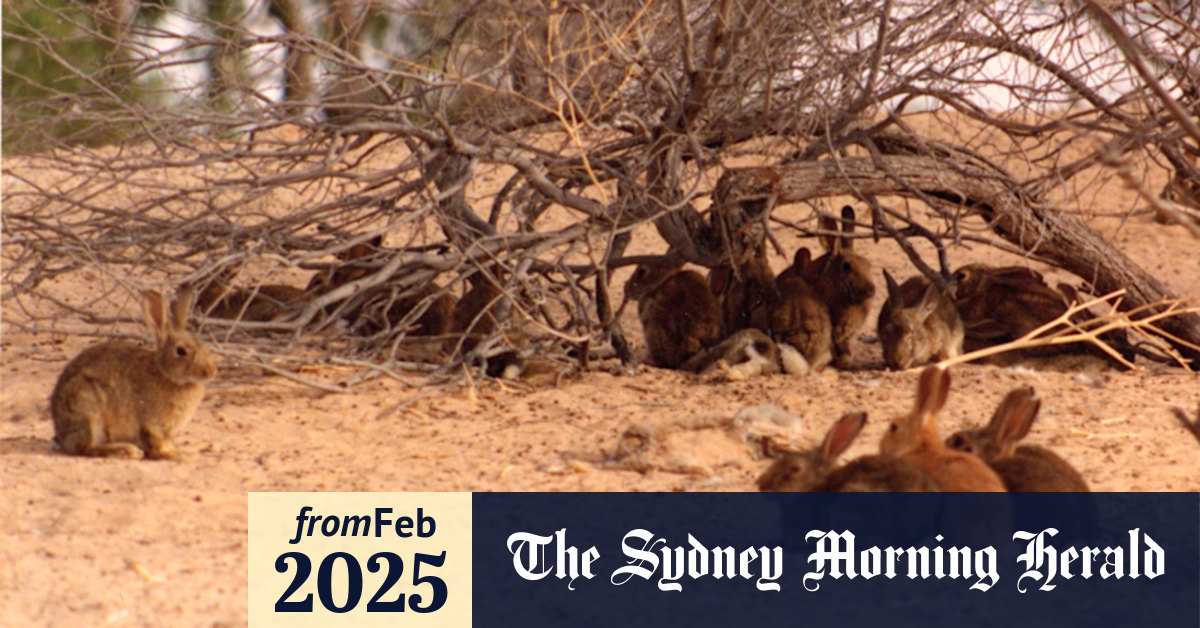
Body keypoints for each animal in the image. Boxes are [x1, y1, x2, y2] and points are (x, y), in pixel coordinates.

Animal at [51, 288, 218, 460]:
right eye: (181, 351)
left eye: (204, 346)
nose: (211, 372)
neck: (165, 372)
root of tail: (62, 435)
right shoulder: (152, 424)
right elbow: (156, 443)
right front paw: (173, 454)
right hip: (88, 411)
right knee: (85, 448)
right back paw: (127, 450)